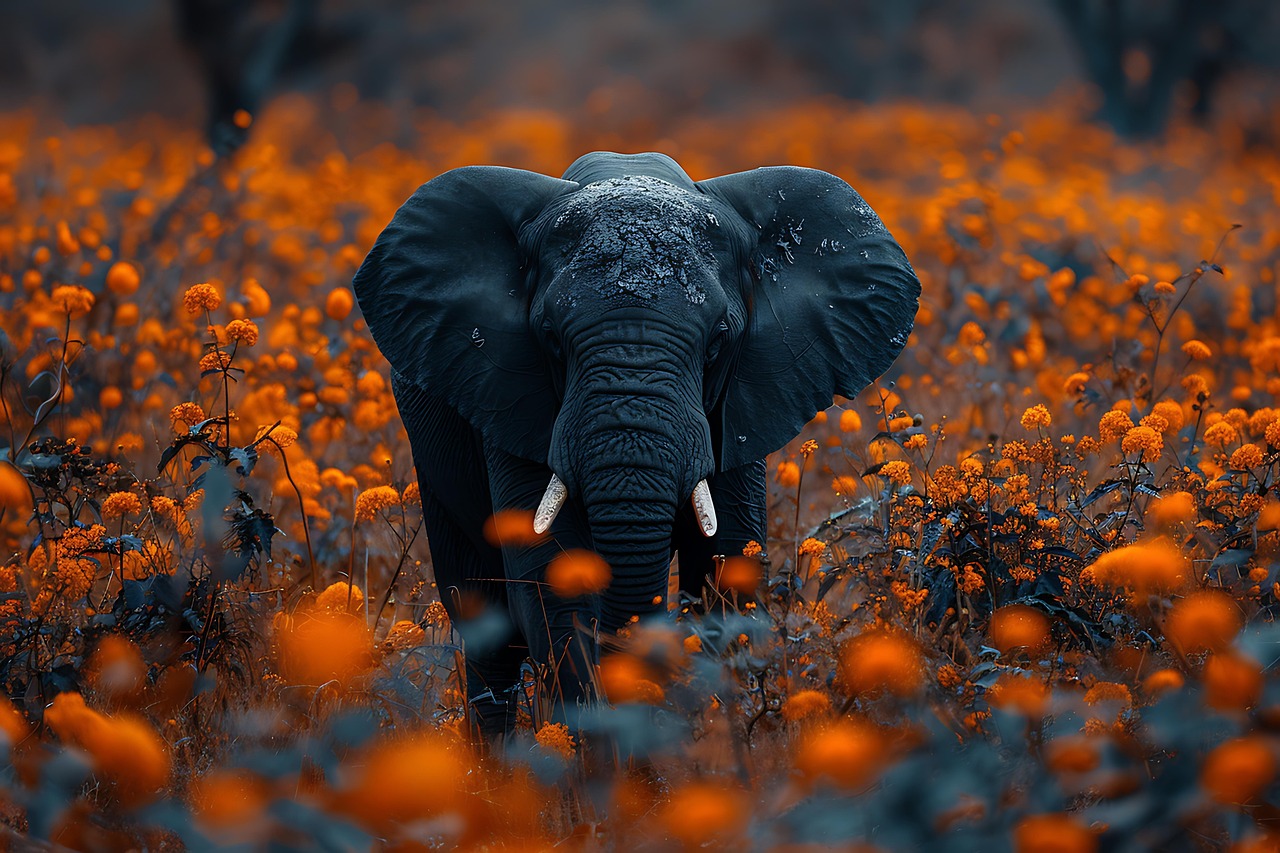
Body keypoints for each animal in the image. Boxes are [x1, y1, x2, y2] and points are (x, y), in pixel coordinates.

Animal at [352, 151, 920, 735]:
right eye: (551, 338)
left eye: (718, 341)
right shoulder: (511, 399)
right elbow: (553, 582)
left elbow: (727, 563)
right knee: (482, 618)